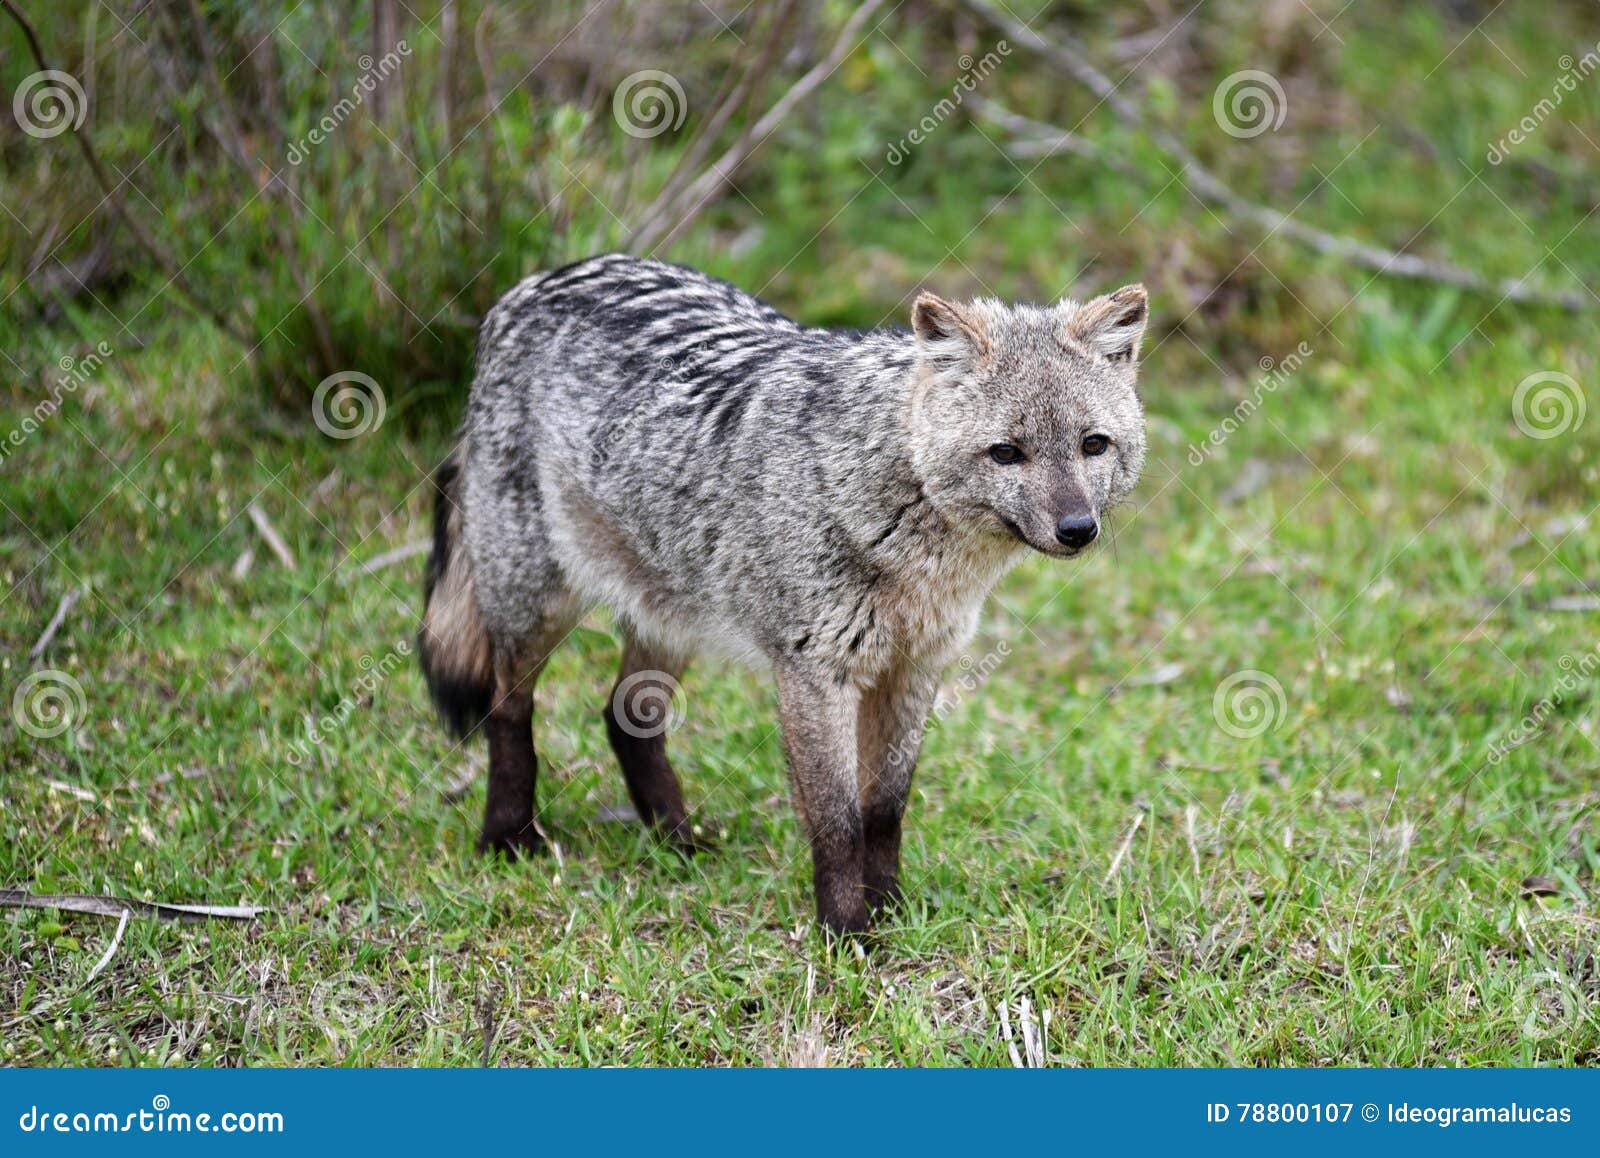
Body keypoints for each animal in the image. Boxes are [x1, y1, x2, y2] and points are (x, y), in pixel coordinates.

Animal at [419, 253, 1149, 936]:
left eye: (1093, 445)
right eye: (1006, 454)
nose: (1078, 530)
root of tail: (538, 280)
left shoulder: (914, 668)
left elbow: (885, 810)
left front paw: (892, 911)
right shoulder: (813, 674)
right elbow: (837, 822)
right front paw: (848, 935)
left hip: (669, 622)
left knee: (625, 719)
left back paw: (679, 844)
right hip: (536, 607)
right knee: (508, 711)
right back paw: (508, 838)